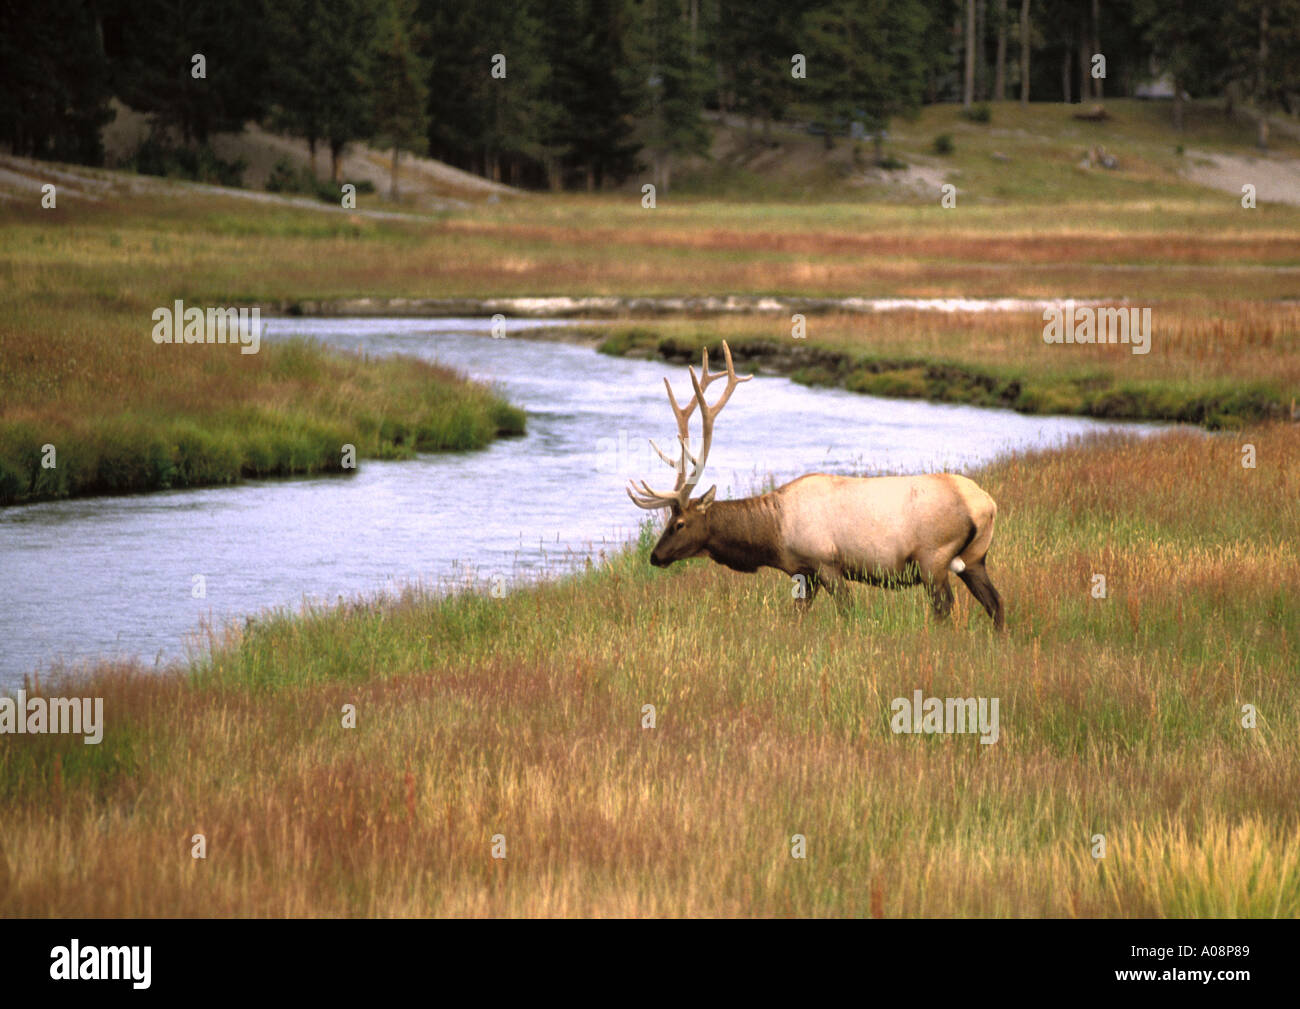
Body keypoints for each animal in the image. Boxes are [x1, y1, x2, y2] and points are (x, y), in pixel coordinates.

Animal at [626, 341, 1004, 629]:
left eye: (679, 523)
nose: (655, 555)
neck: (775, 533)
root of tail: (985, 505)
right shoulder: (804, 572)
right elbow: (797, 616)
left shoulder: (826, 563)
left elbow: (848, 613)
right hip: (975, 559)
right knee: (997, 604)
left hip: (933, 559)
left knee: (946, 608)